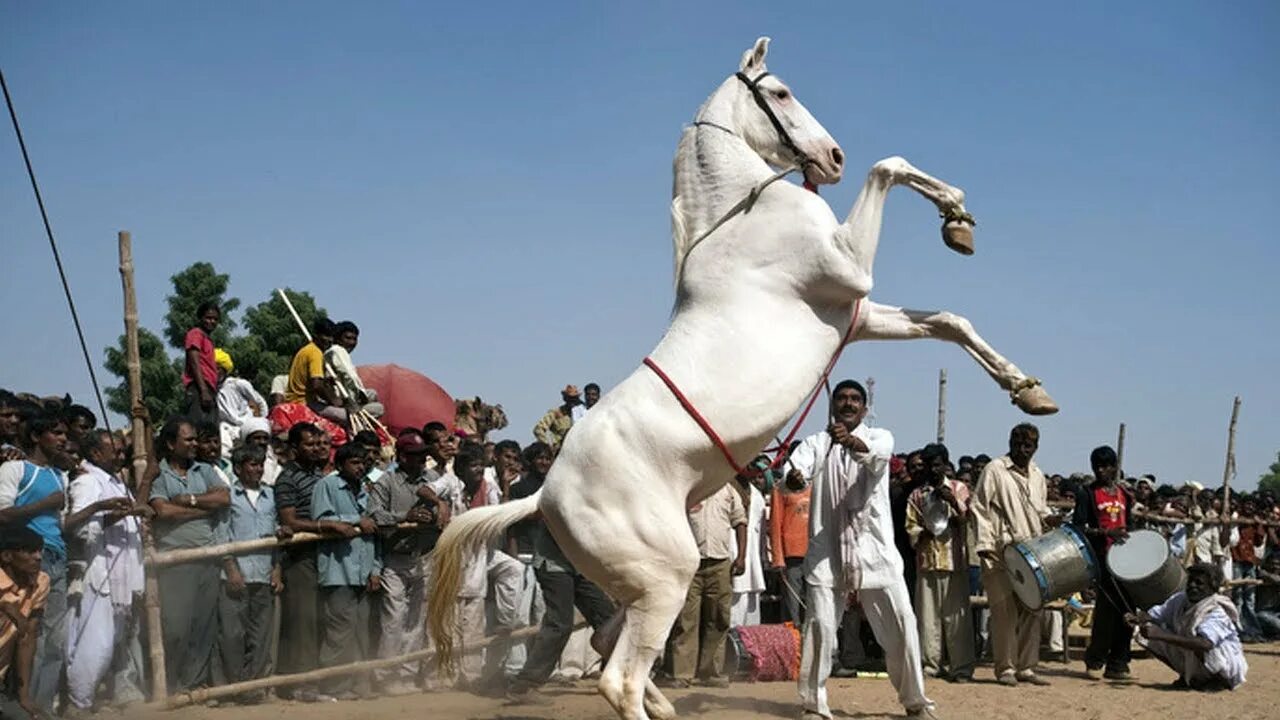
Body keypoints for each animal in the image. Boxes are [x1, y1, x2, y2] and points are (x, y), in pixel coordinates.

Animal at [428, 37, 1057, 720]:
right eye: (780, 91)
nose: (833, 158)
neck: (745, 212)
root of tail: (542, 494)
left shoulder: (854, 314)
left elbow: (949, 320)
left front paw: (1028, 388)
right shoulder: (849, 269)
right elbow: (887, 168)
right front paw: (953, 209)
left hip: (632, 585)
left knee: (606, 639)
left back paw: (667, 705)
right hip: (666, 576)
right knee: (617, 677)